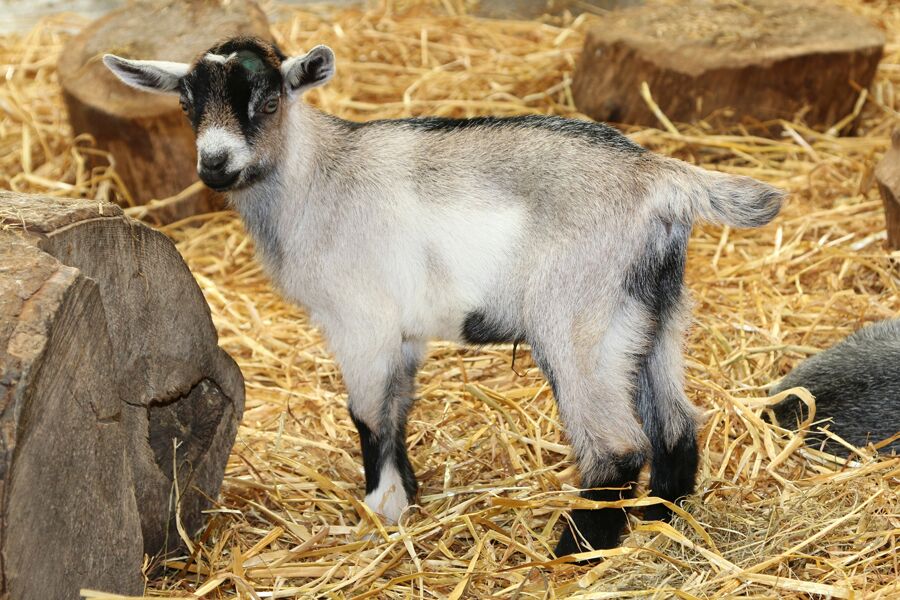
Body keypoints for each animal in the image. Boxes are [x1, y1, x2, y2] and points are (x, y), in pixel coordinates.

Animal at [104, 37, 785, 556]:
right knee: (677, 422)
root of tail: (660, 180)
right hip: (655, 313)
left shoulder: (362, 321)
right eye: (187, 104)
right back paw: (661, 519)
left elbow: (368, 414)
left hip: (579, 317)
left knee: (618, 446)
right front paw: (406, 494)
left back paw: (576, 546)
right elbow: (398, 407)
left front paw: (381, 507)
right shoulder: (403, 332)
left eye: (269, 101)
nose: (215, 165)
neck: (315, 178)